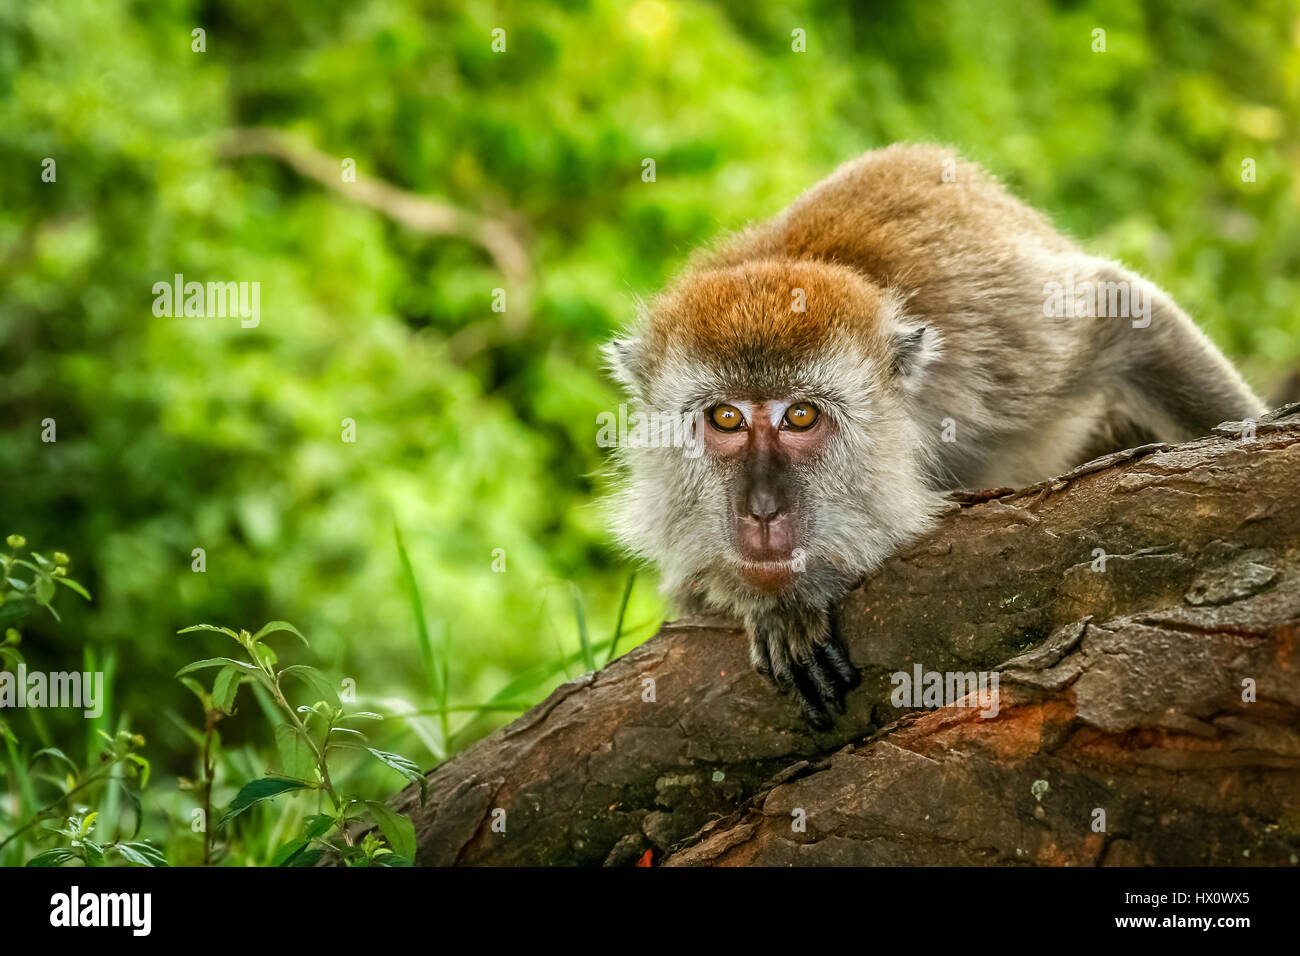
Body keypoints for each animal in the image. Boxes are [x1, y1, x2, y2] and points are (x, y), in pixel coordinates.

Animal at [603, 143, 1266, 730]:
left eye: (801, 417)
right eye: (726, 419)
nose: (762, 508)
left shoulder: (990, 347)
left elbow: (1121, 309)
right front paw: (775, 607)